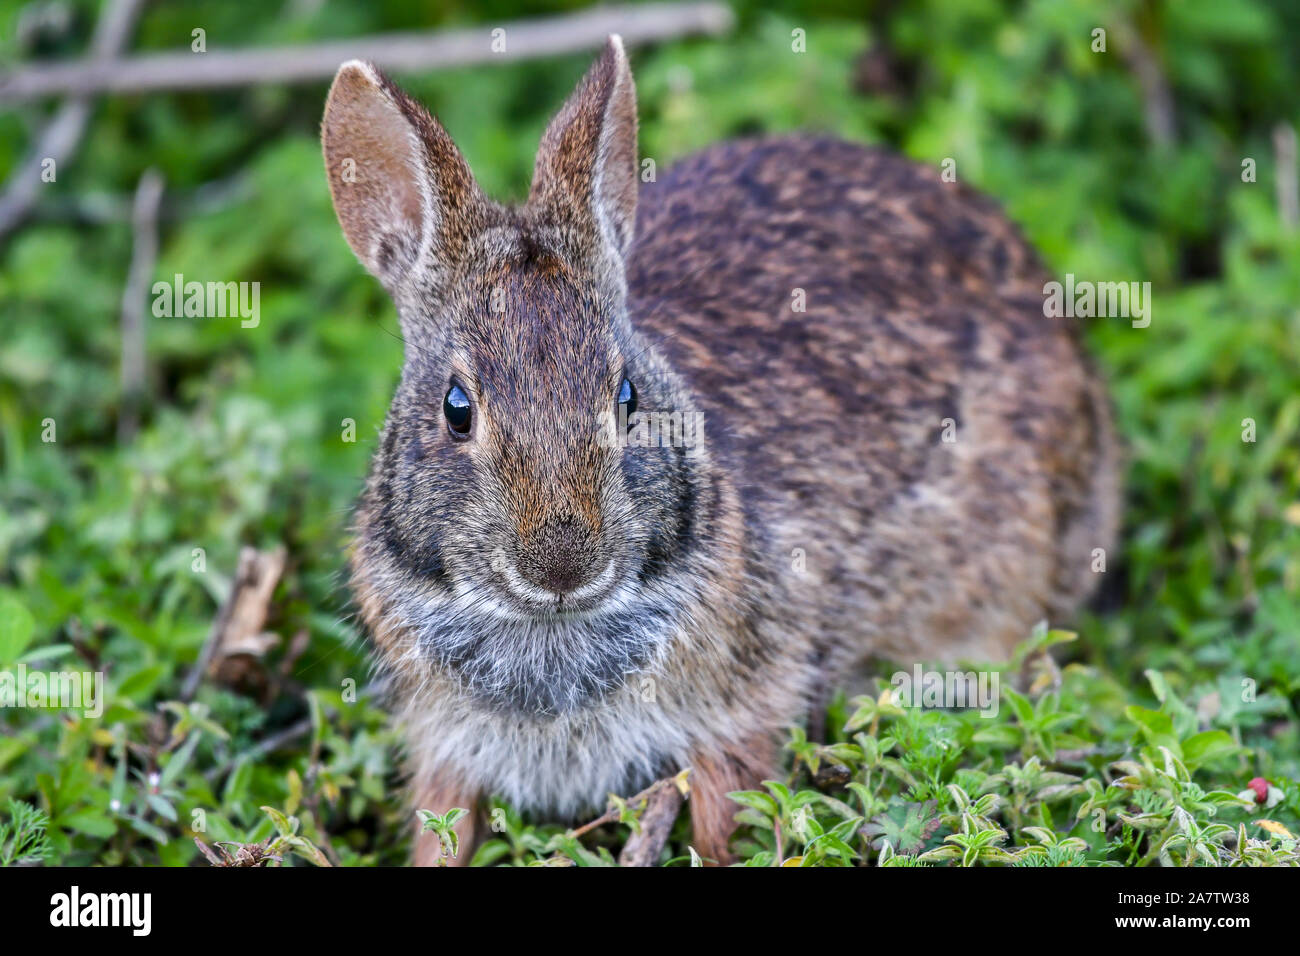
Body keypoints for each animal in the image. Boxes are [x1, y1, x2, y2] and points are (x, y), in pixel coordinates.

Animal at [321, 35, 1120, 866]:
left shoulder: (739, 713)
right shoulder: (446, 748)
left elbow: (724, 814)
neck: (552, 627)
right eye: (457, 410)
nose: (563, 566)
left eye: (628, 397)